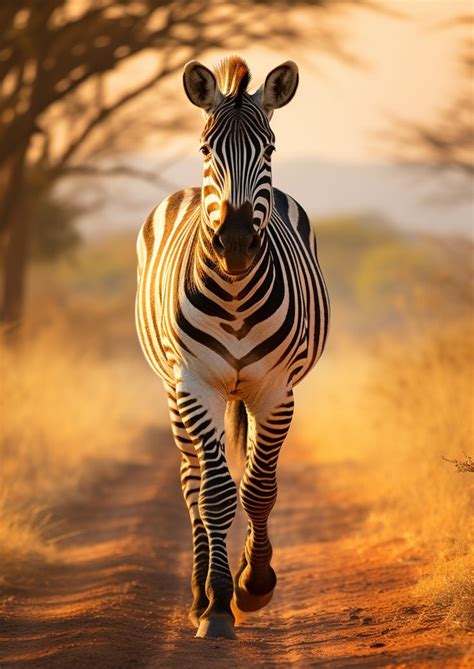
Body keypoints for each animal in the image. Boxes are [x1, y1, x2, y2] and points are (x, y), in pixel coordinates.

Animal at [135, 56, 329, 640]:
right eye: (205, 149)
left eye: (270, 149)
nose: (237, 243)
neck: (238, 294)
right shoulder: (195, 383)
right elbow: (218, 494)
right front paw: (220, 603)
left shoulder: (275, 390)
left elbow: (259, 488)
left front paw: (254, 583)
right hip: (176, 392)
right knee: (193, 483)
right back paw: (200, 593)